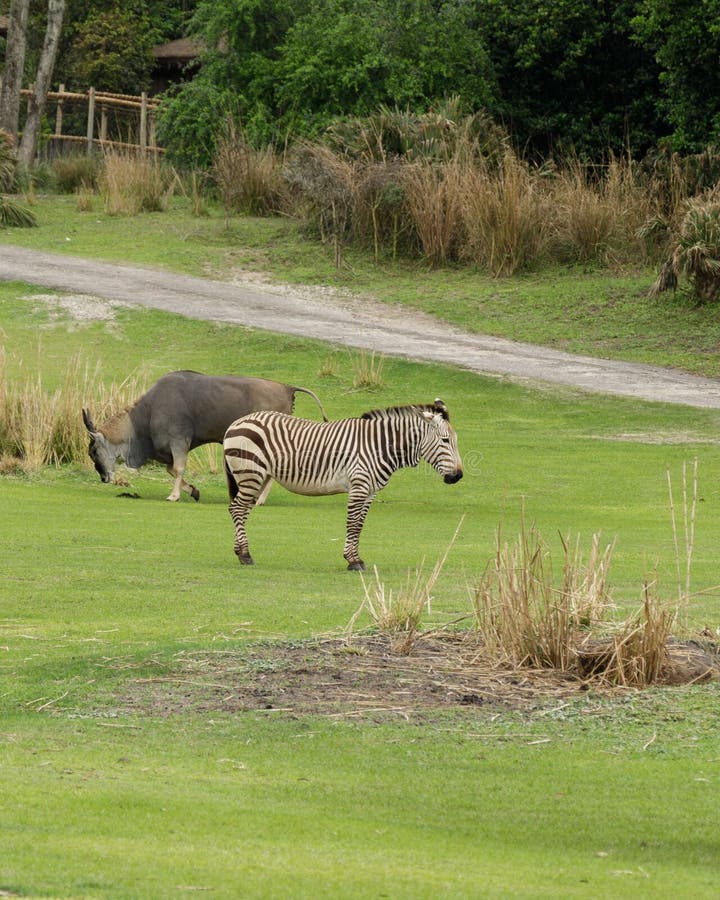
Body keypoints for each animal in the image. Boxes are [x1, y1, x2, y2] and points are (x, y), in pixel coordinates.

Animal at [82, 370, 327, 503]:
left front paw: (174, 496)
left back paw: (260, 499)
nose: (103, 477)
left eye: (93, 451)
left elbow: (178, 468)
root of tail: (287, 388)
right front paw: (194, 491)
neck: (147, 412)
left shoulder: (178, 440)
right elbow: (172, 469)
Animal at [223, 398, 463, 570]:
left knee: (243, 510)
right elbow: (353, 524)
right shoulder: (359, 486)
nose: (458, 476)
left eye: (455, 441)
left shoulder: (371, 492)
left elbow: (360, 525)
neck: (380, 446)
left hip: (257, 476)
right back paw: (245, 555)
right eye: (445, 441)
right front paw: (353, 561)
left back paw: (241, 552)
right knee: (237, 508)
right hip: (250, 473)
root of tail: (236, 422)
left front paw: (356, 558)